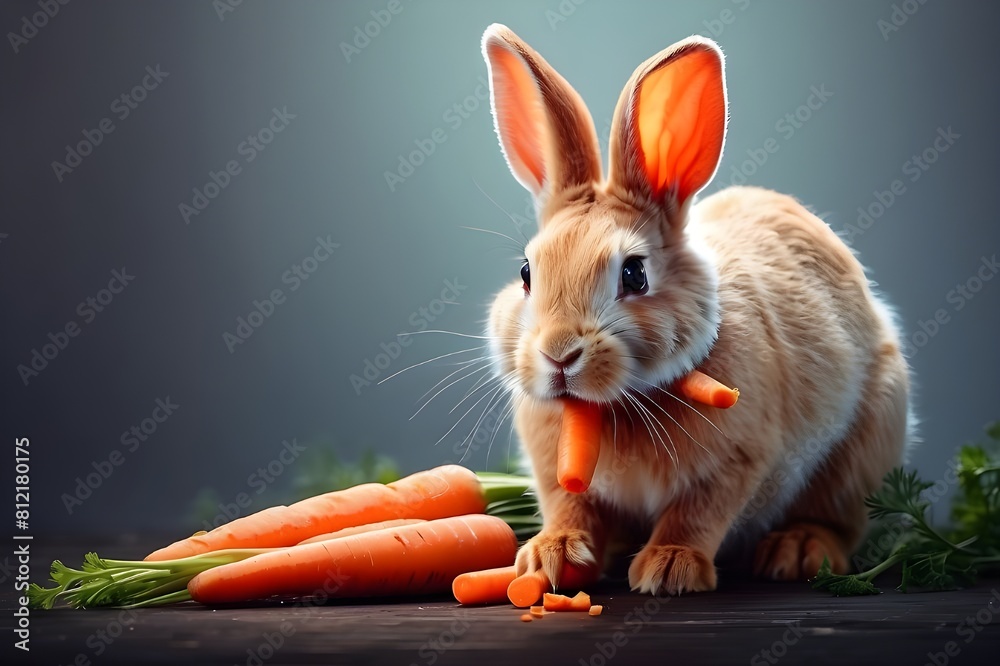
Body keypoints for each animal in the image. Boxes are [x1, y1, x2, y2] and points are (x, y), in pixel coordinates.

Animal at [479, 23, 913, 595]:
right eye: (528, 272)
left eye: (634, 274)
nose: (558, 354)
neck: (622, 405)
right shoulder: (557, 471)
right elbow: (570, 506)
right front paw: (550, 559)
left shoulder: (736, 462)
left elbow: (696, 513)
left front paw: (668, 568)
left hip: (864, 445)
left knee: (836, 517)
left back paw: (798, 551)